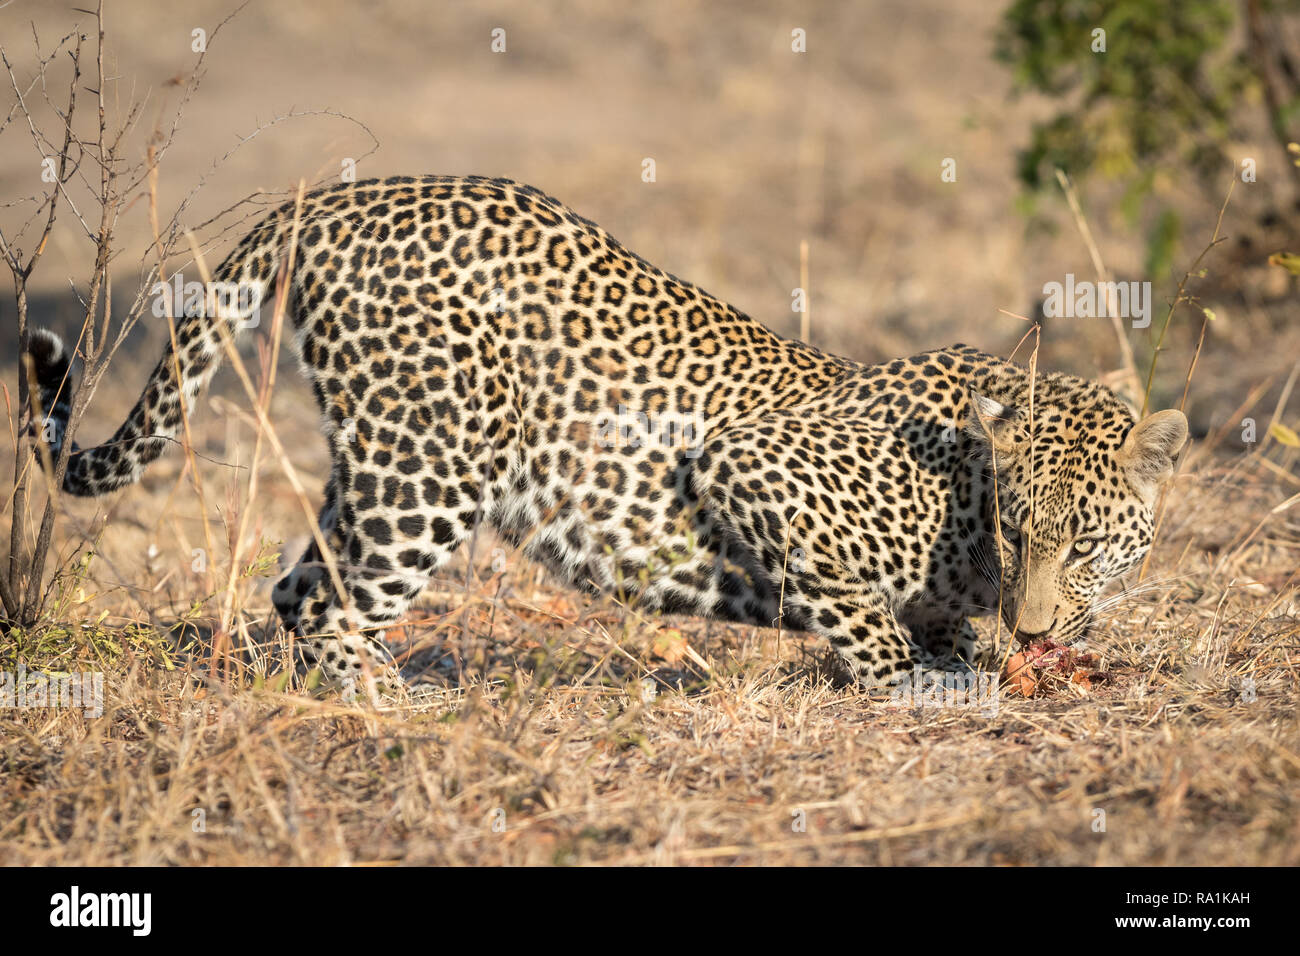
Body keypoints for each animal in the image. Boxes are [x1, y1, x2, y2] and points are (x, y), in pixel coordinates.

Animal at [27, 174, 1188, 696]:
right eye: (1018, 529)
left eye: (1085, 542)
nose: (1036, 624)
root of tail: (344, 196)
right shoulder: (753, 466)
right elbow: (873, 626)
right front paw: (917, 683)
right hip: (430, 465)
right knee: (321, 598)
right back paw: (395, 708)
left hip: (376, 464)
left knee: (296, 578)